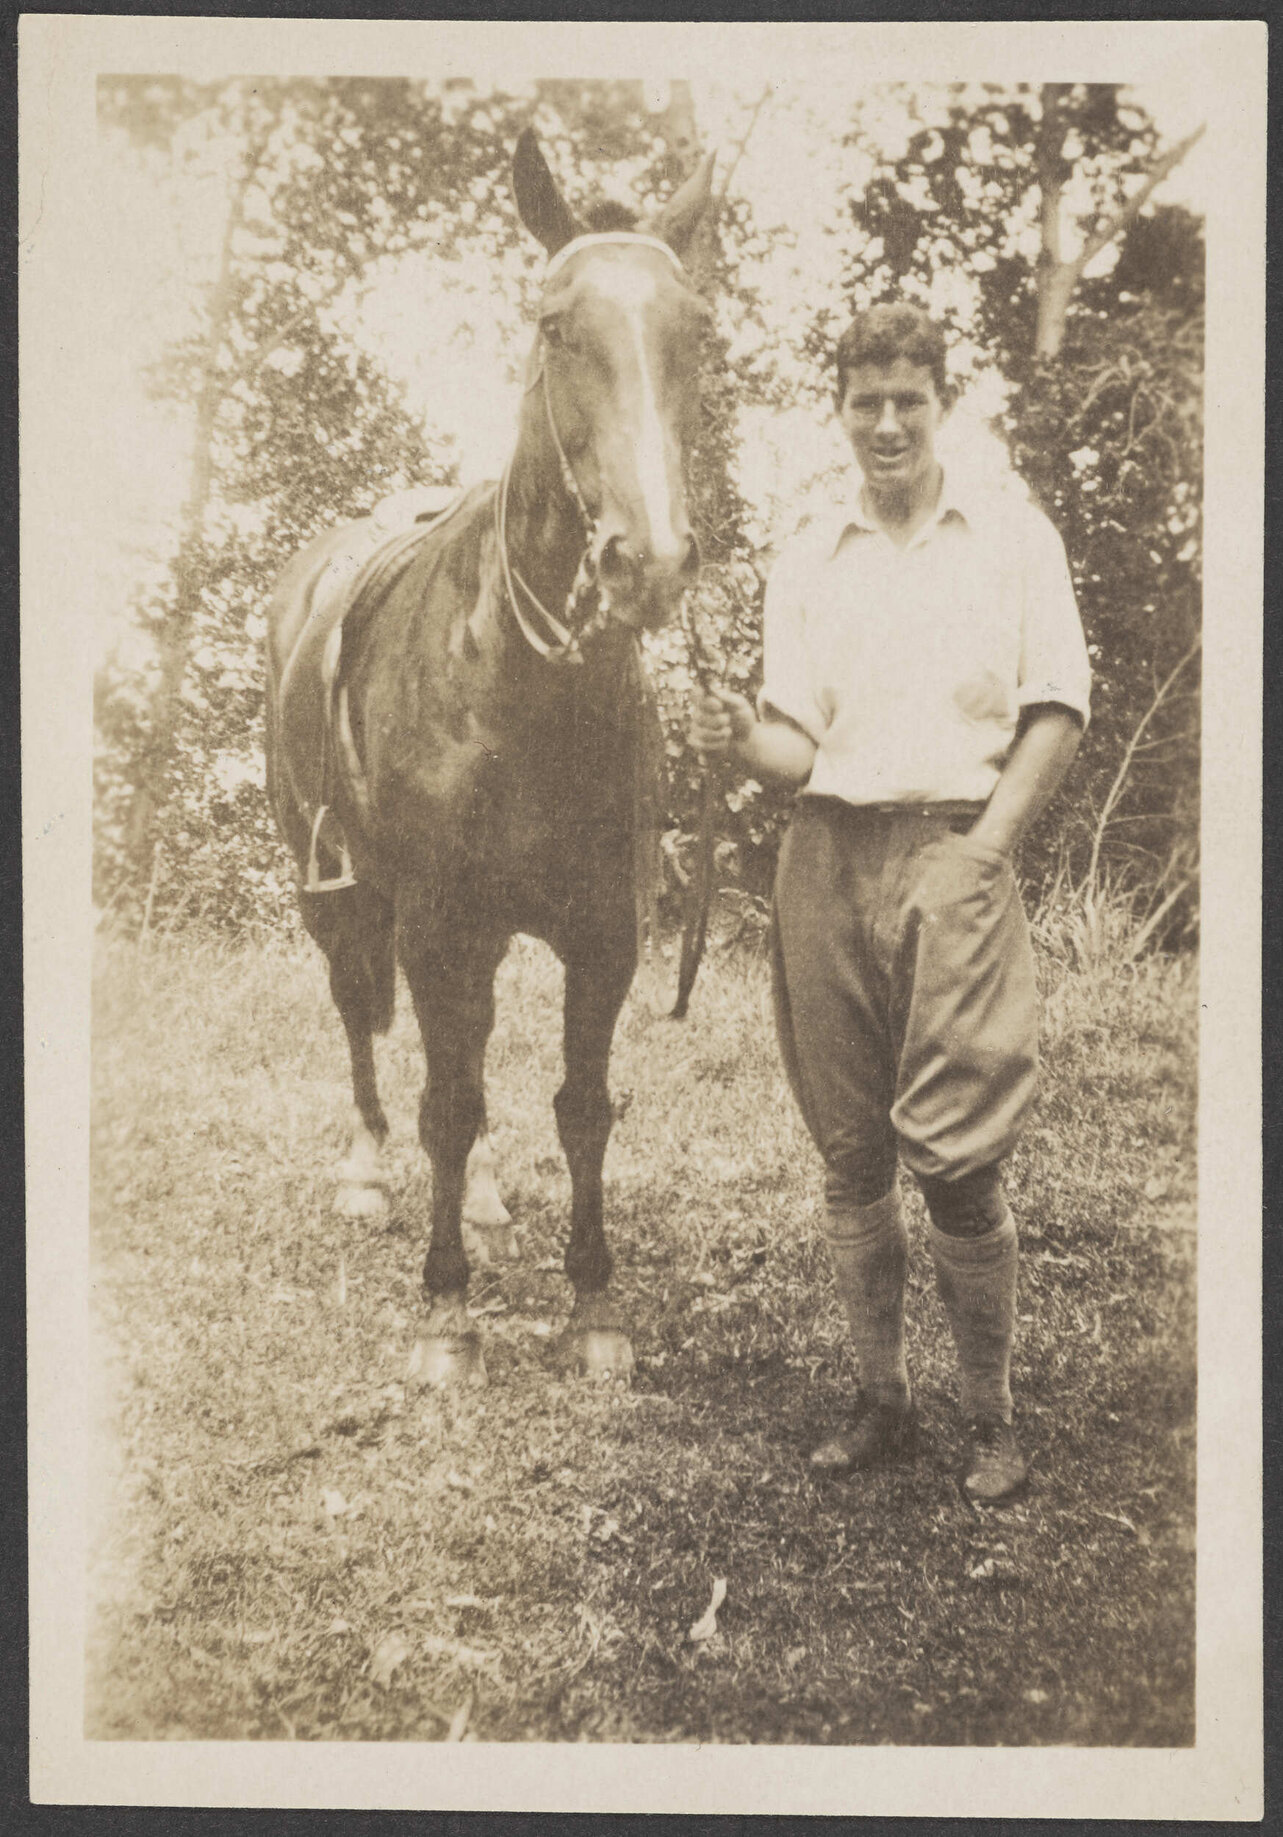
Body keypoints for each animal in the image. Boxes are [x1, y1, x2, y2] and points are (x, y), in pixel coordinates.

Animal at [265, 129, 716, 1385]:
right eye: (554, 324)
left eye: (692, 329)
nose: (649, 562)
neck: (521, 687)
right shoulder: (434, 923)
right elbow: (444, 1106)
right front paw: (446, 1311)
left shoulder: (604, 929)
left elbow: (577, 1104)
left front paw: (594, 1303)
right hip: (339, 899)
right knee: (365, 1024)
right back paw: (369, 1172)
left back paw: (481, 1199)